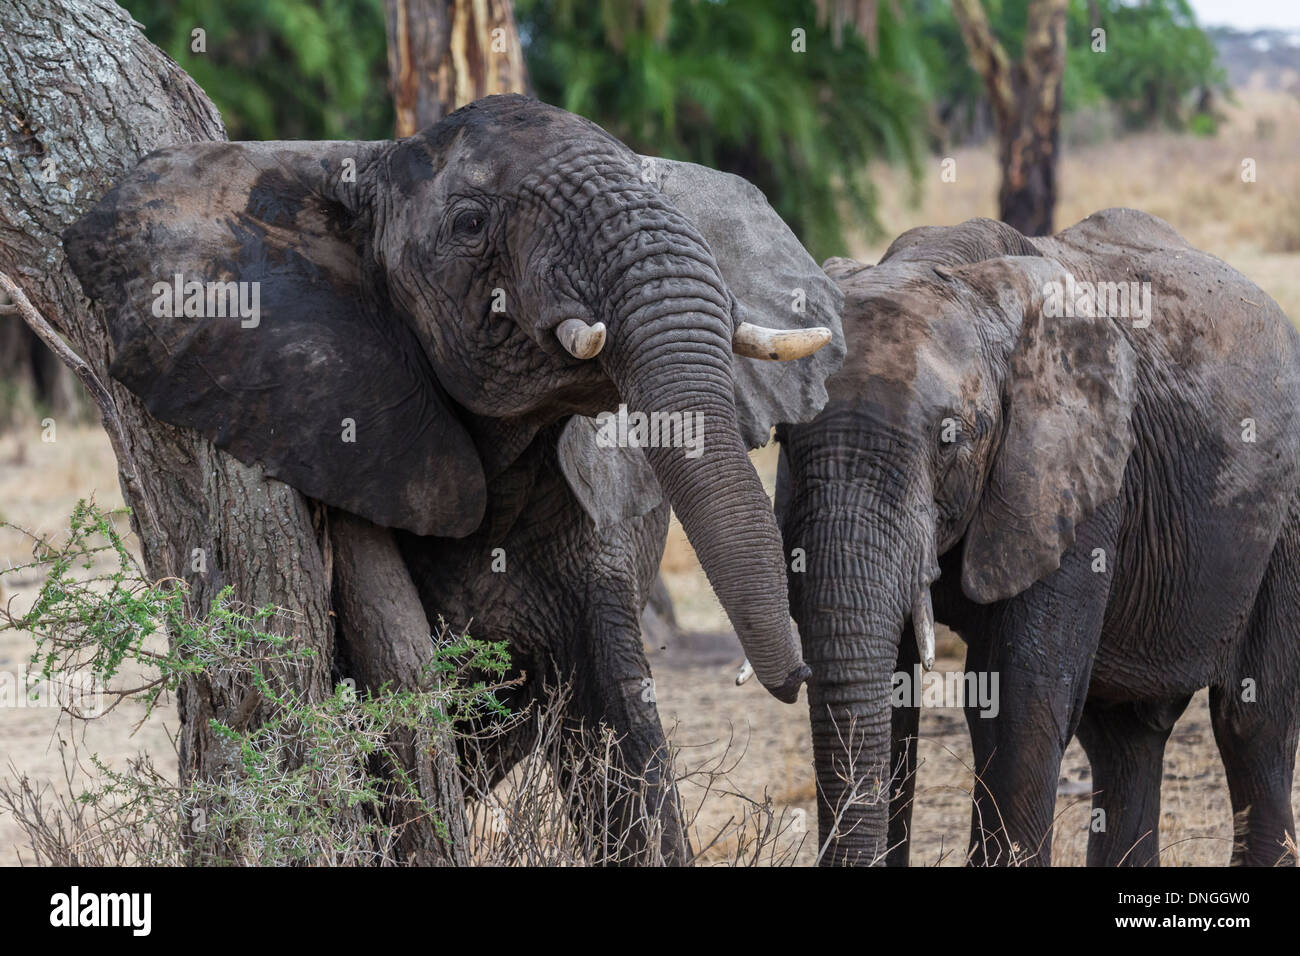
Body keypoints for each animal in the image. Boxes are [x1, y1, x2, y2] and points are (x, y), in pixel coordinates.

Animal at [776, 209, 1300, 867]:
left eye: (949, 439)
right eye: (783, 440)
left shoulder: (1080, 484)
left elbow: (1018, 697)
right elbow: (891, 688)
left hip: (1286, 520)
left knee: (1253, 724)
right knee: (1125, 735)